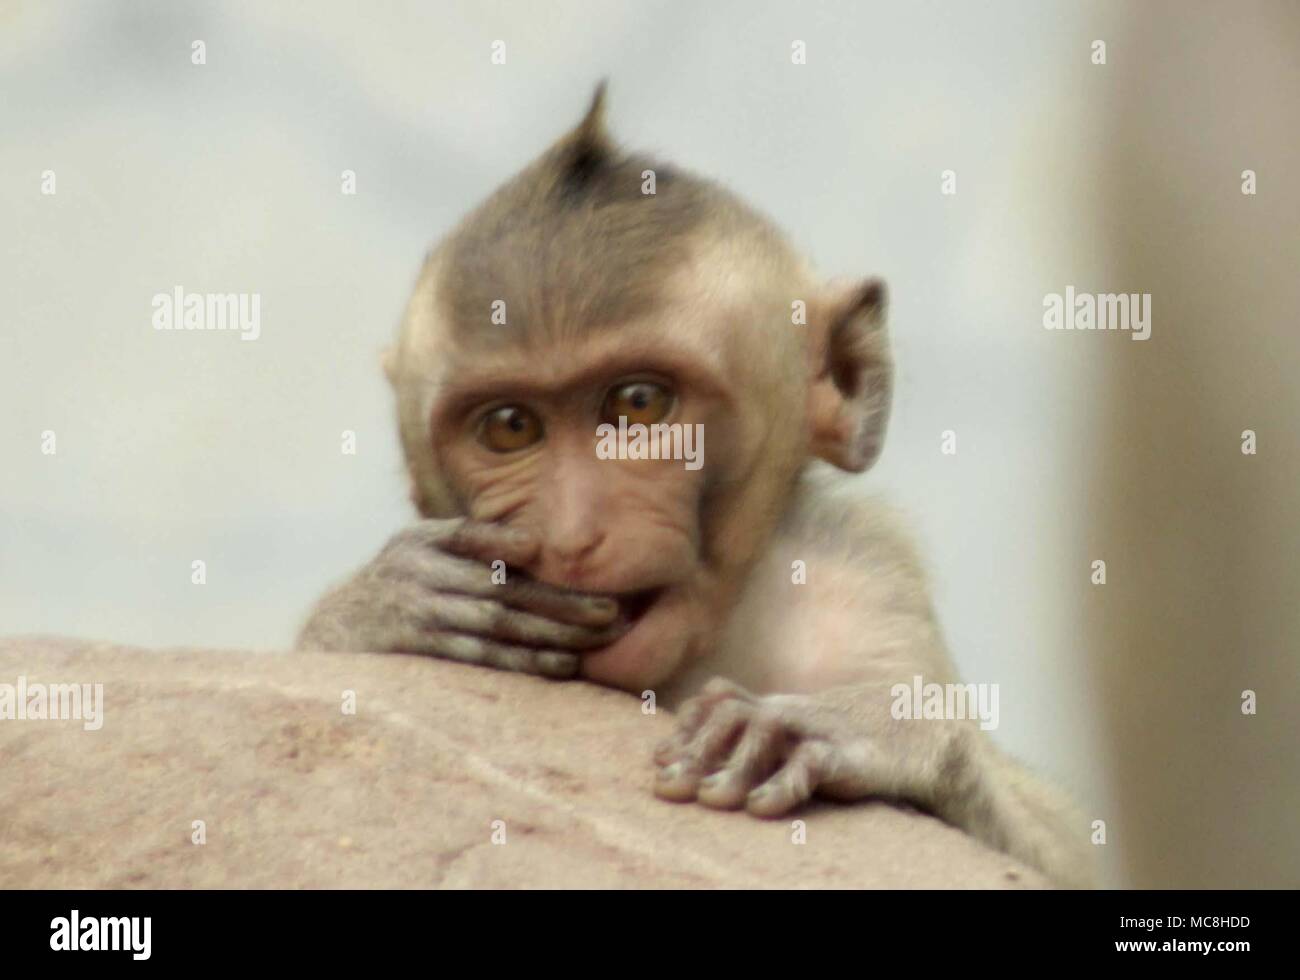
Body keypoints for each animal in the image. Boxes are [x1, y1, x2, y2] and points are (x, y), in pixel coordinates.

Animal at [297, 84, 1093, 888]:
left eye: (639, 404)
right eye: (511, 426)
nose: (573, 535)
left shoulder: (863, 576)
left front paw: (871, 731)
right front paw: (383, 602)